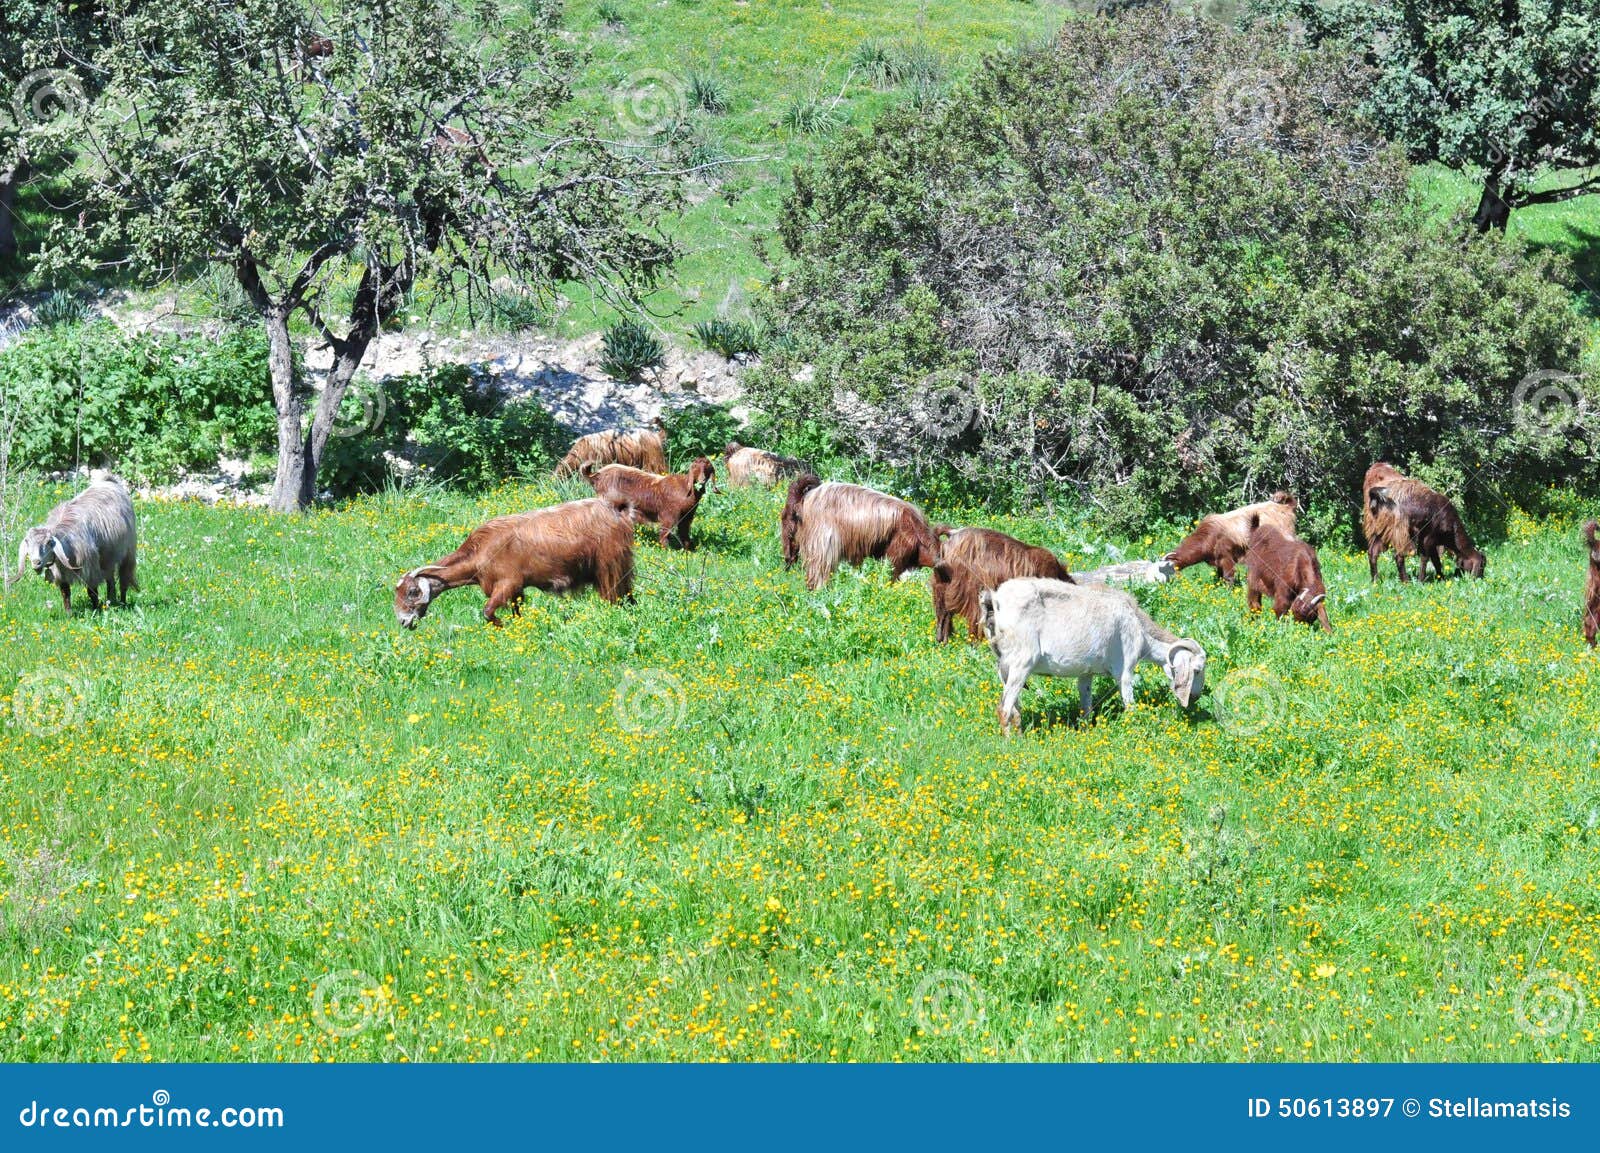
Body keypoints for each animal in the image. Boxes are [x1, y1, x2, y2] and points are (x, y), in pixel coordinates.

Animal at [9, 477, 137, 612]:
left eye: (49, 542)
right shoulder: (61, 573)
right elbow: (65, 593)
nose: (36, 562)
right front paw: (68, 613)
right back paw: (111, 602)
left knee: (124, 578)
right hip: (108, 558)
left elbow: (92, 592)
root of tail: (109, 481)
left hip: (128, 551)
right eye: (27, 542)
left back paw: (122, 602)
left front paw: (96, 610)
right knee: (111, 579)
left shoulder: (90, 570)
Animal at [393, 498, 634, 628]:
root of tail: (616, 510)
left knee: (616, 598)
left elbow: (487, 611)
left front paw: (503, 626)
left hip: (609, 568)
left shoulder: (507, 583)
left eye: (413, 591)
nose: (403, 622)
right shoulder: (516, 590)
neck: (481, 550)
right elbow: (516, 612)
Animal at [582, 457, 715, 549]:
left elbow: (684, 533)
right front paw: (667, 550)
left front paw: (688, 549)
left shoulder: (687, 517)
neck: (685, 489)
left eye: (708, 469)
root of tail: (596, 476)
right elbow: (664, 533)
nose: (702, 480)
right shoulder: (669, 515)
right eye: (696, 467)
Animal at [980, 578, 1205, 734]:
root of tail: (995, 601)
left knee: (1015, 710)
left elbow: (1085, 706)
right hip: (1022, 663)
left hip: (1004, 667)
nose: (1195, 697)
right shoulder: (1125, 668)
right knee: (1004, 709)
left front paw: (1086, 732)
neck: (1138, 627)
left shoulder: (1085, 673)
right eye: (1197, 670)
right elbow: (1130, 705)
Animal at [1166, 491, 1298, 584]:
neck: (1208, 535)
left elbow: (1228, 575)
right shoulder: (1217, 558)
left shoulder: (1225, 553)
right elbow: (1220, 575)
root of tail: (1286, 507)